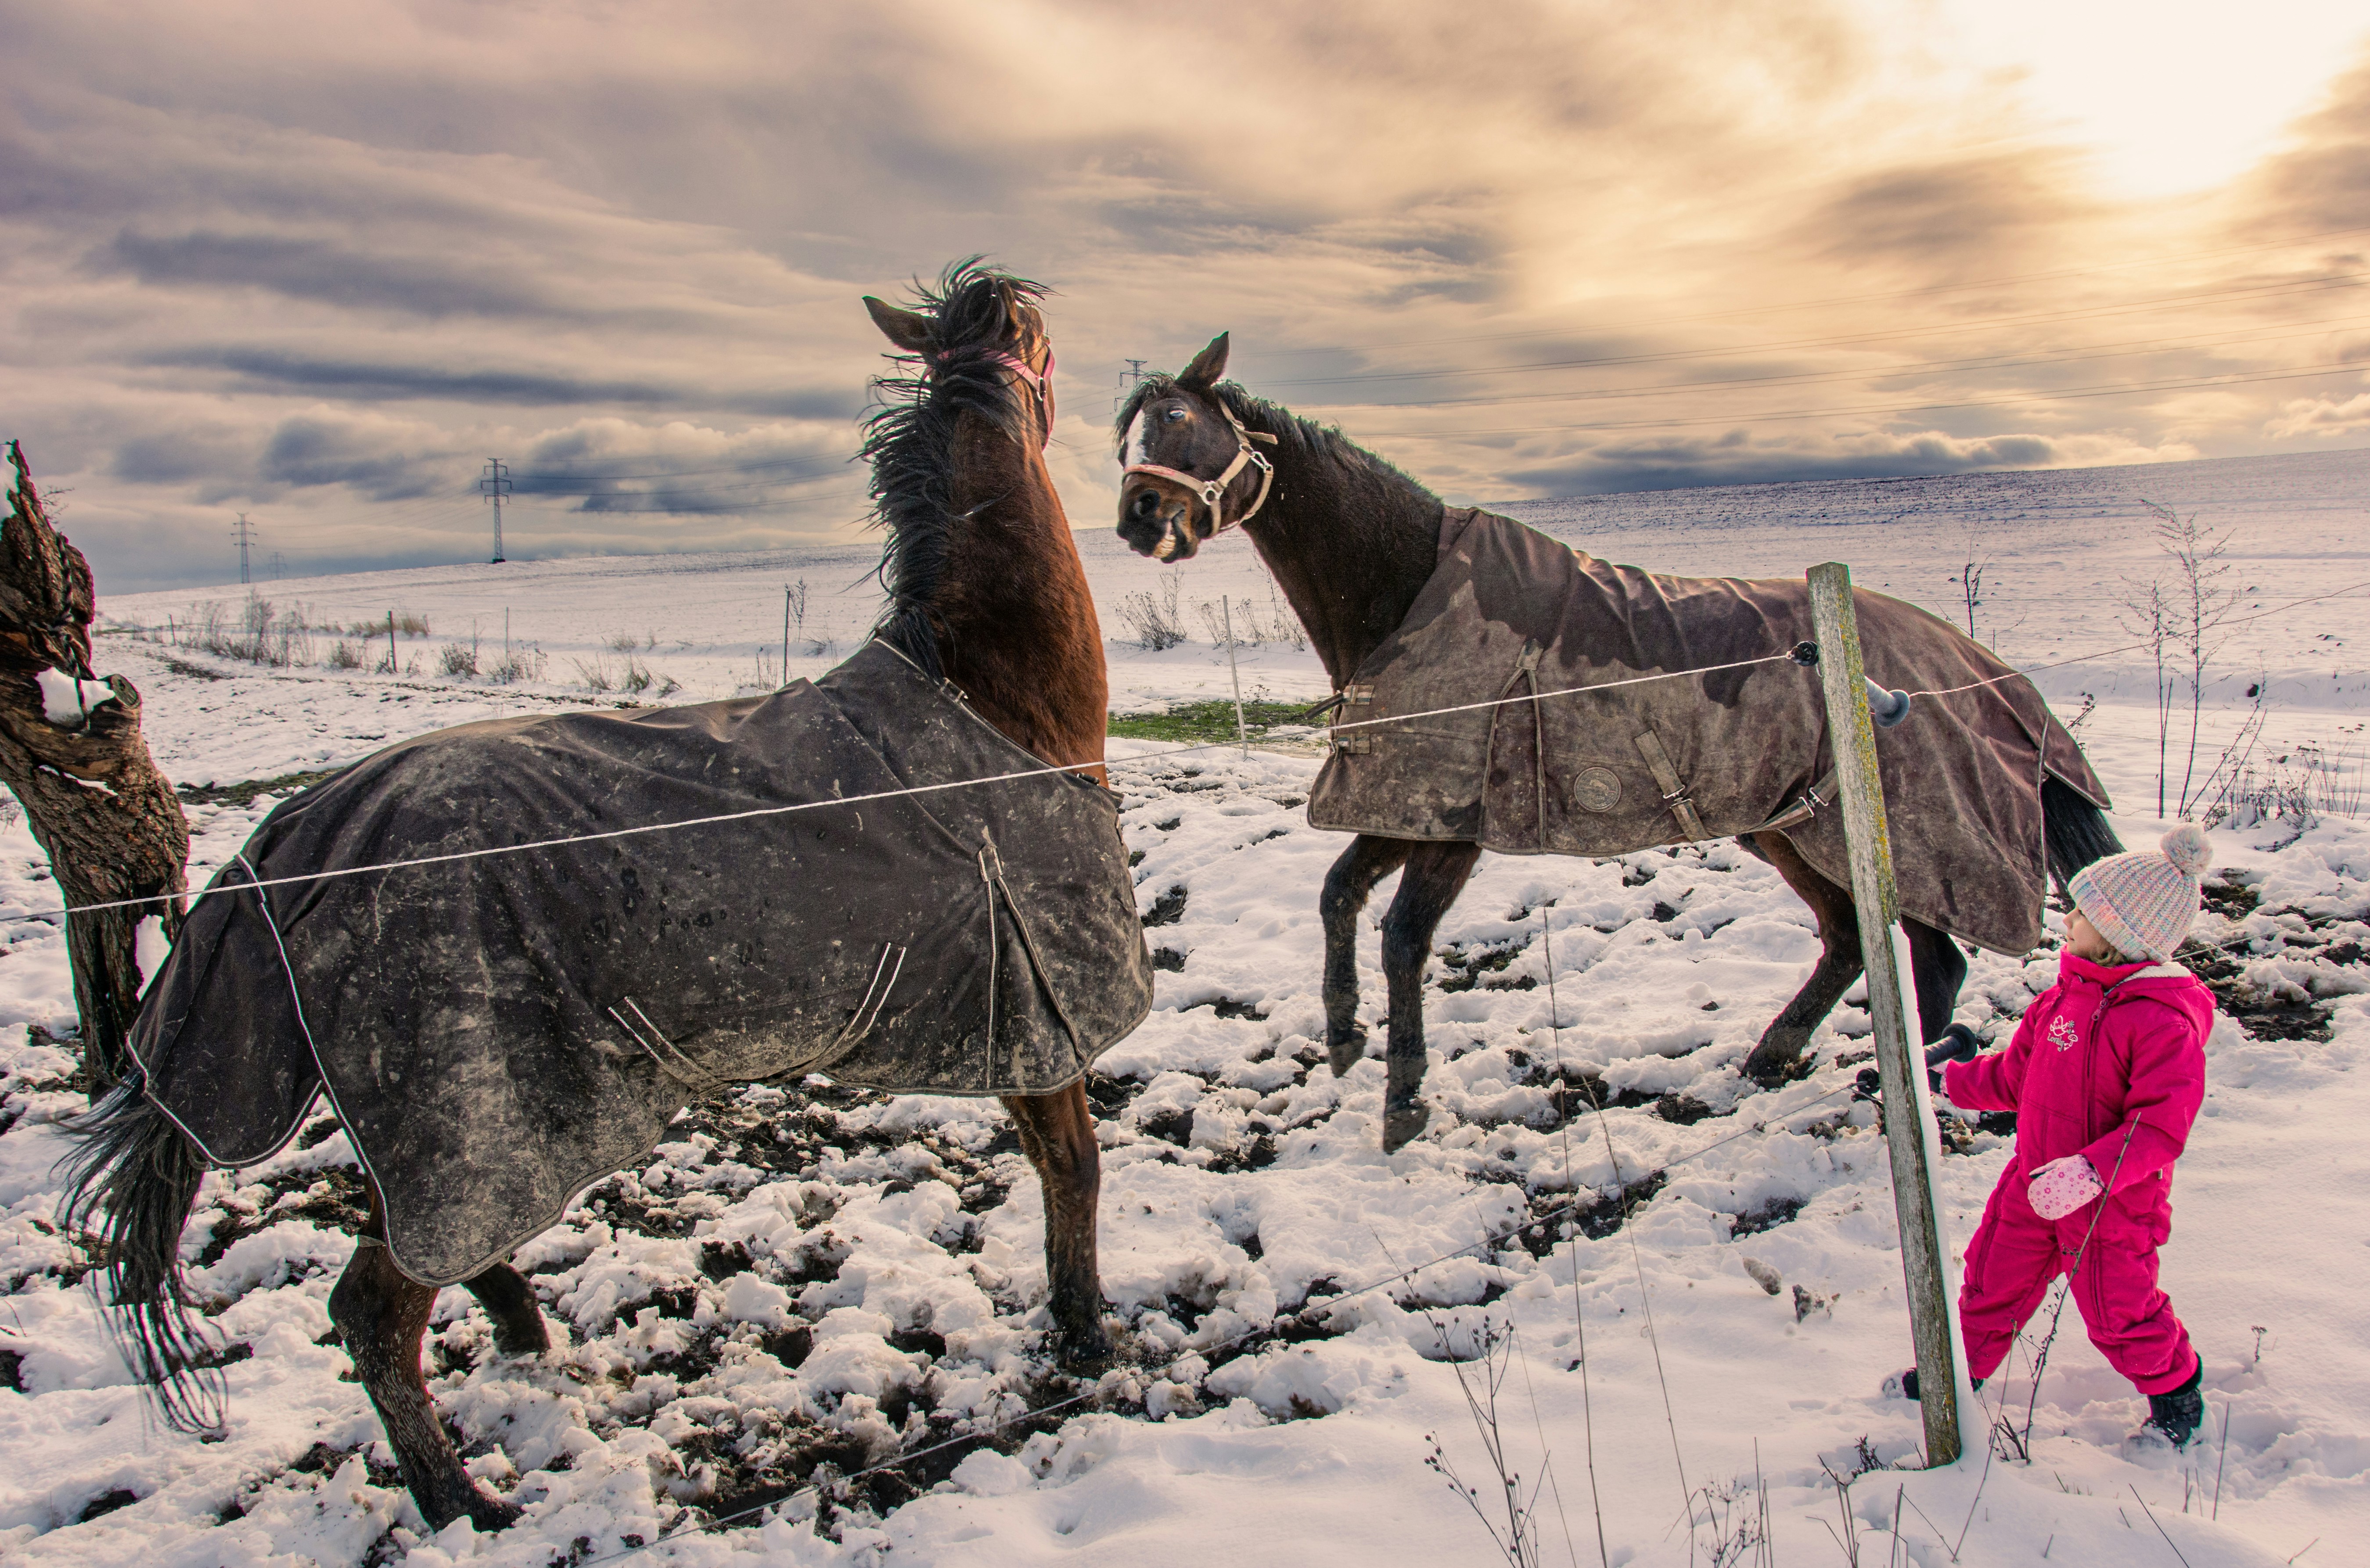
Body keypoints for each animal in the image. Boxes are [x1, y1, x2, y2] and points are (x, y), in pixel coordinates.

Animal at [59, 262, 1132, 1532]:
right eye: (1048, 352)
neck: (991, 692)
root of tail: (298, 835)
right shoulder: (1041, 1016)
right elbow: (1074, 1173)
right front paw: (1085, 1337)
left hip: (430, 1133)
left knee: (434, 1261)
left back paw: (527, 1342)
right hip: (468, 1115)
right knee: (374, 1309)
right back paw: (462, 1502)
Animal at [1113, 333, 2121, 1151]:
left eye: (1177, 420)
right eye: (1121, 438)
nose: (1136, 520)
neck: (1407, 593)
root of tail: (1980, 669)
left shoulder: (1453, 822)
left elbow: (1401, 936)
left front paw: (1403, 1097)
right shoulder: (1406, 801)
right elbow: (1335, 894)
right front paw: (1342, 1035)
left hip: (1875, 838)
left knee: (1928, 958)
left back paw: (1892, 1084)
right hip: (1790, 830)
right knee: (1852, 944)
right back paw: (1777, 1058)